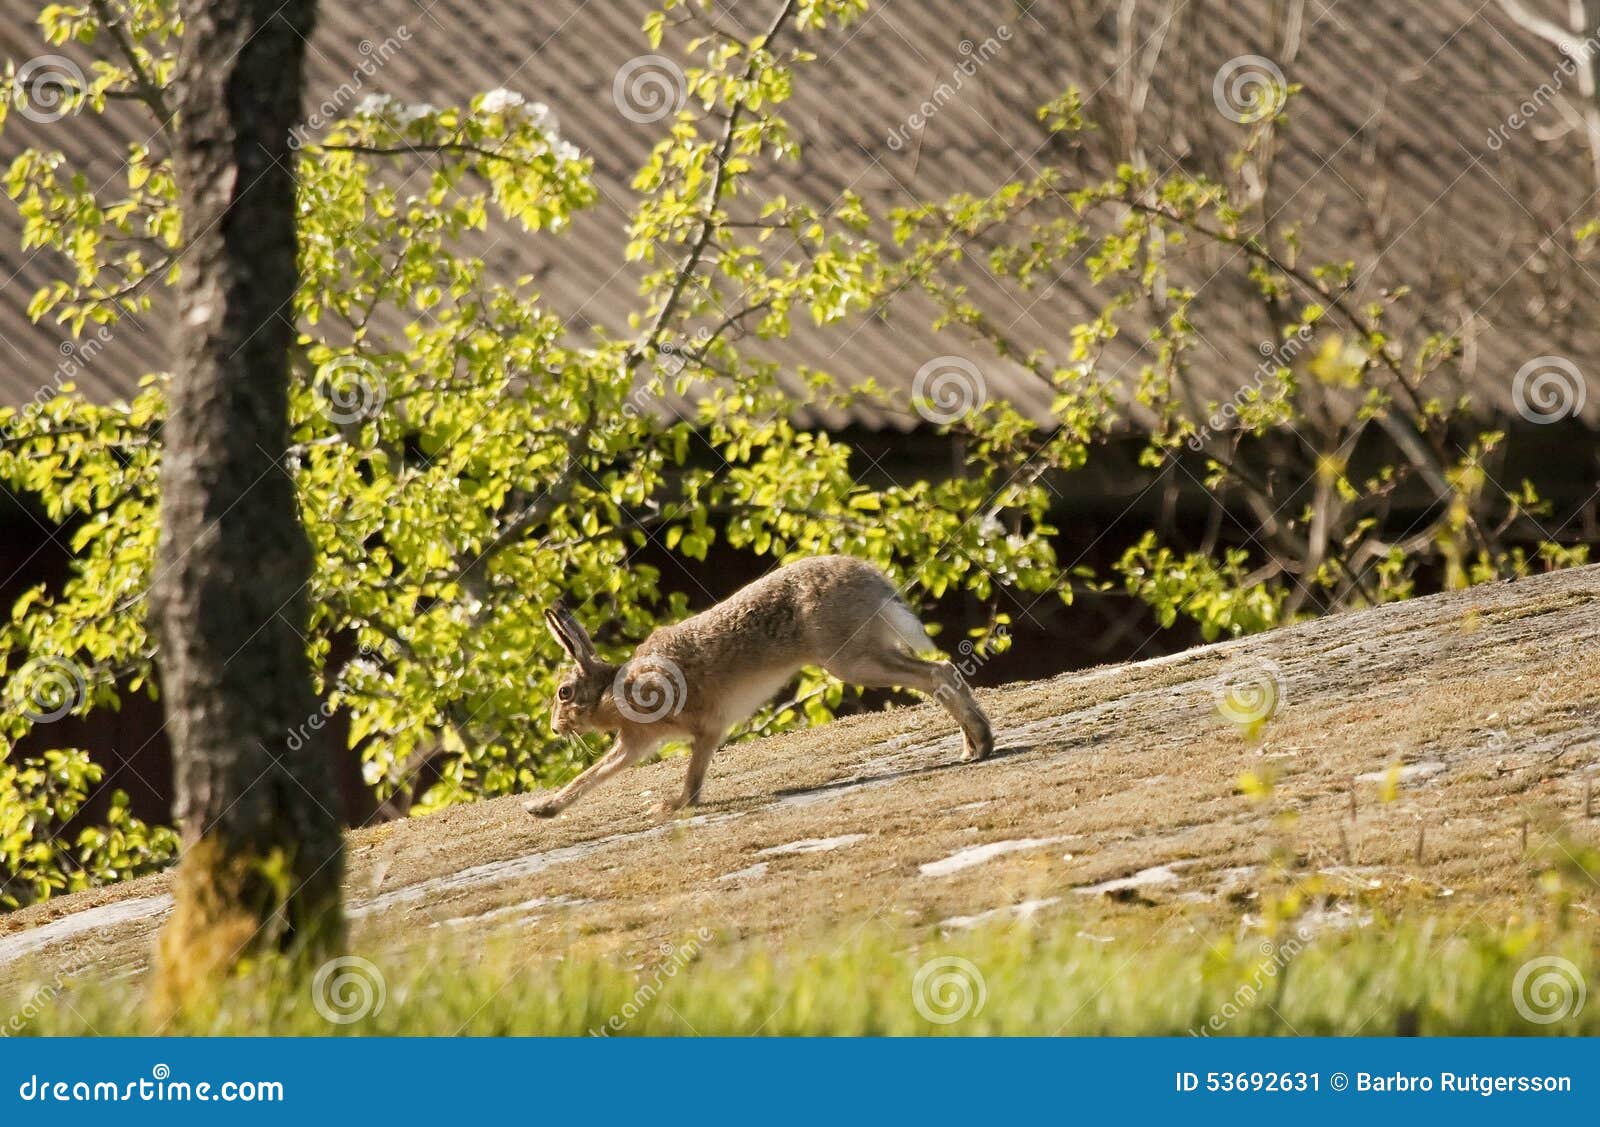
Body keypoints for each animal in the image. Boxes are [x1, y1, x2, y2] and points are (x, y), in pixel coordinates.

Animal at [524, 554, 994, 818]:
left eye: (564, 693)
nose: (554, 727)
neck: (612, 689)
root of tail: (875, 583)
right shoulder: (639, 743)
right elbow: (596, 775)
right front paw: (543, 809)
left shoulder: (700, 731)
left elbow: (686, 775)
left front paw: (673, 806)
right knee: (941, 671)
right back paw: (973, 745)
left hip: (852, 661)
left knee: (937, 673)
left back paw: (980, 744)